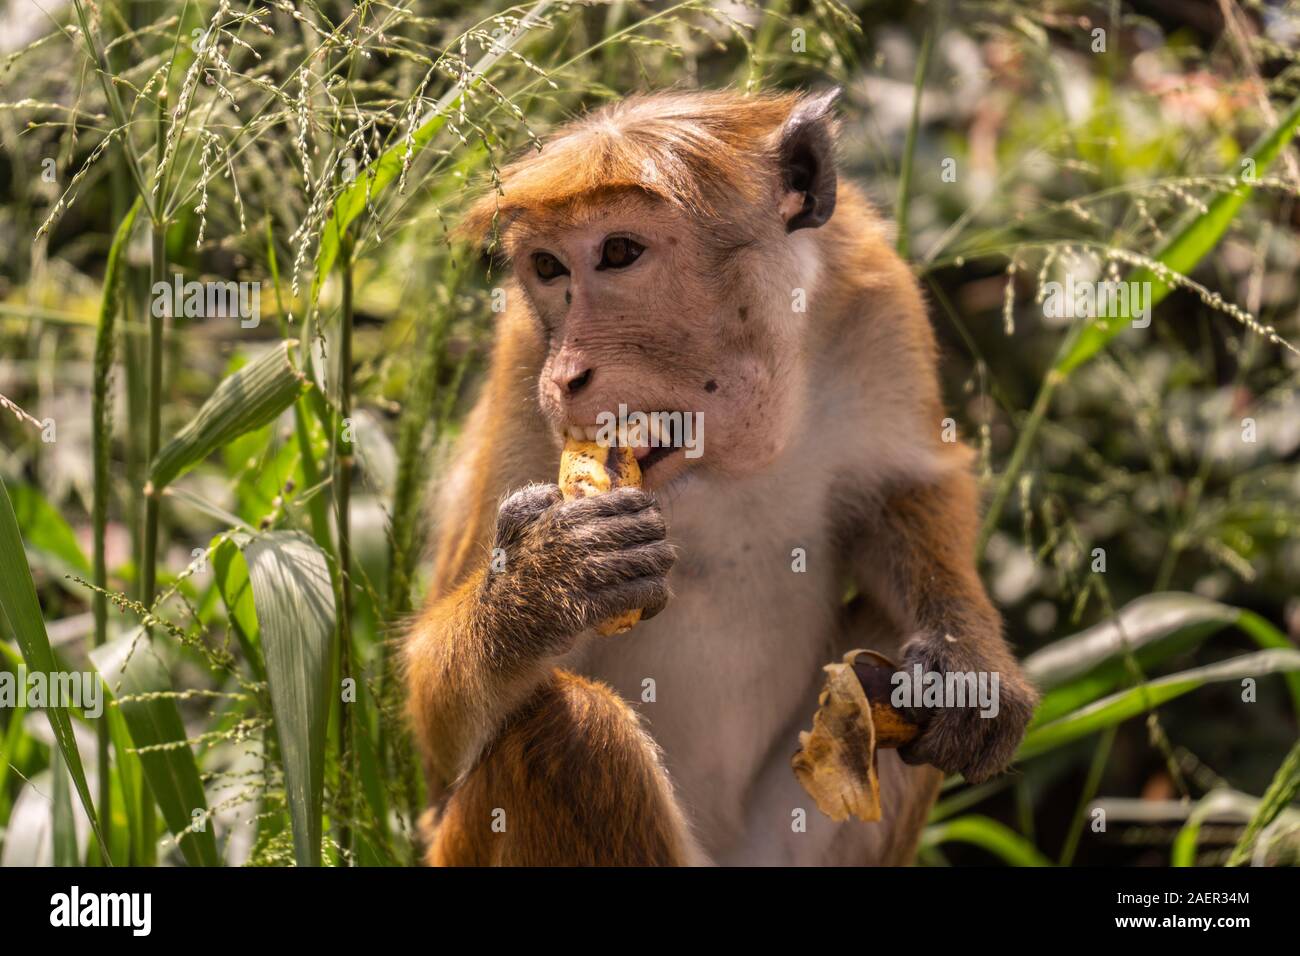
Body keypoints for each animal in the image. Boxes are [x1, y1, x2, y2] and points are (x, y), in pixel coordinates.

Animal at [402, 88, 1038, 866]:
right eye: (549, 268)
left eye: (619, 253)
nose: (564, 377)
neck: (719, 463)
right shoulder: (523, 360)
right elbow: (440, 740)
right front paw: (548, 579)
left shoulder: (877, 299)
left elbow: (905, 488)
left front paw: (971, 667)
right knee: (572, 731)